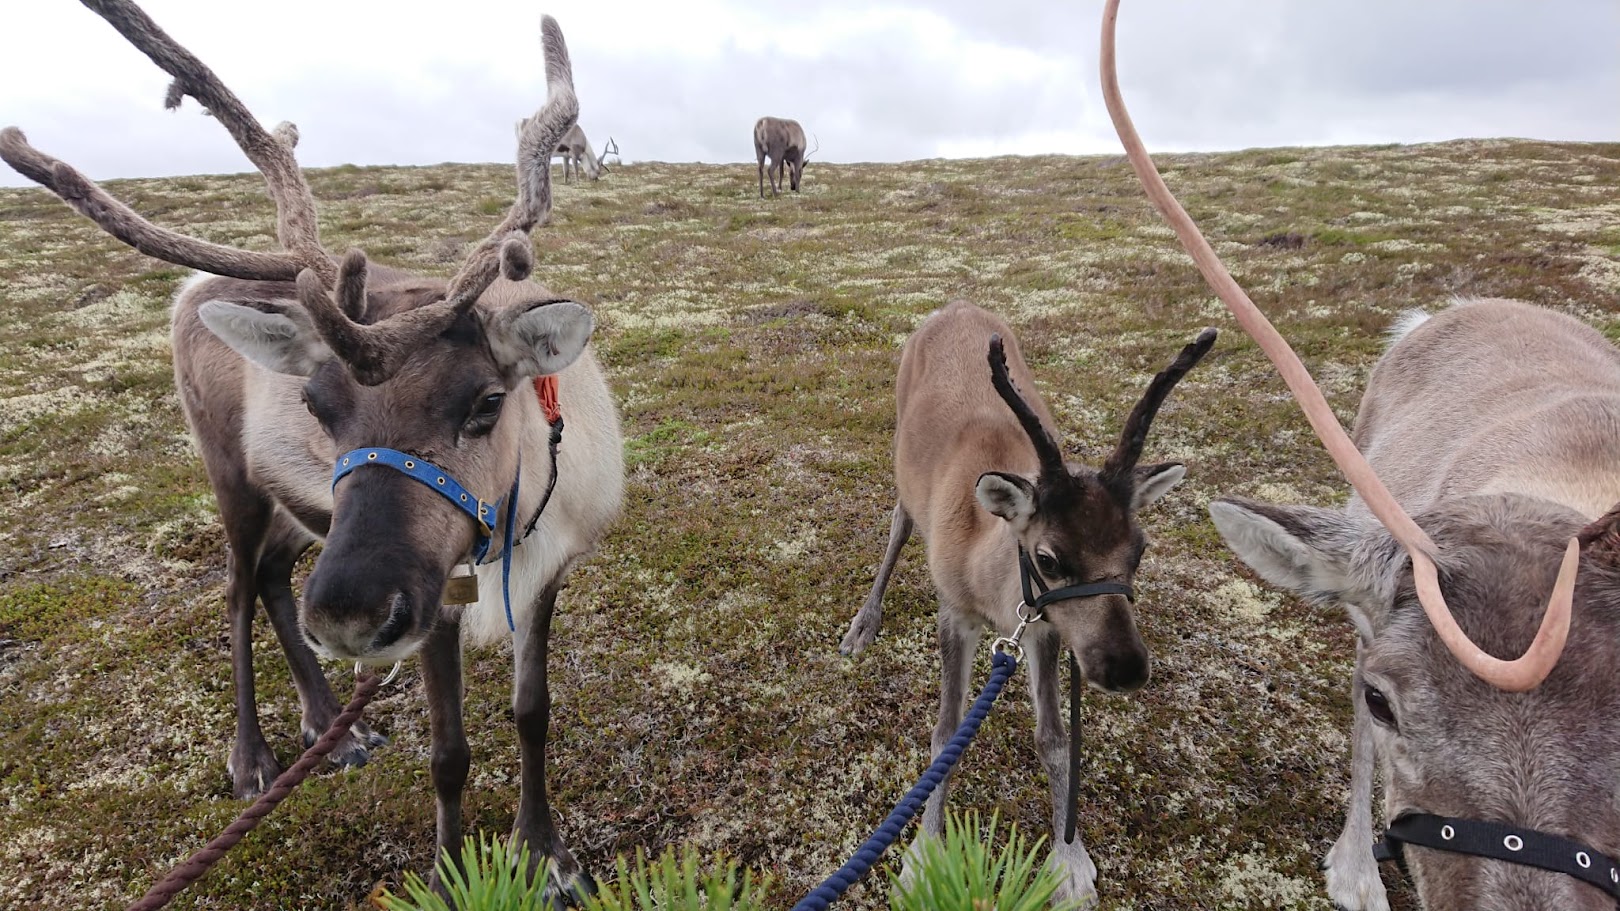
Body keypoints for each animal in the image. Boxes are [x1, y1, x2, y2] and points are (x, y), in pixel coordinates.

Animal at [0, 0, 622, 900]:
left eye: (485, 402)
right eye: (316, 404)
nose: (351, 615)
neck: (514, 522)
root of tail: (191, 288)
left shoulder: (549, 572)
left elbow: (533, 714)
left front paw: (546, 855)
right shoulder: (436, 602)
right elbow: (450, 753)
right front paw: (446, 878)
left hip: (305, 515)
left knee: (271, 578)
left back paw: (334, 724)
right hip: (232, 477)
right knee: (234, 586)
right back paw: (255, 758)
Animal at [839, 299, 1216, 906]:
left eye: (1139, 550)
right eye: (1048, 558)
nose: (1125, 668)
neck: (988, 576)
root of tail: (955, 304)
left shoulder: (1044, 626)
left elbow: (1056, 740)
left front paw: (1070, 861)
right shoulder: (956, 614)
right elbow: (945, 733)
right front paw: (924, 853)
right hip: (900, 445)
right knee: (899, 520)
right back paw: (863, 623)